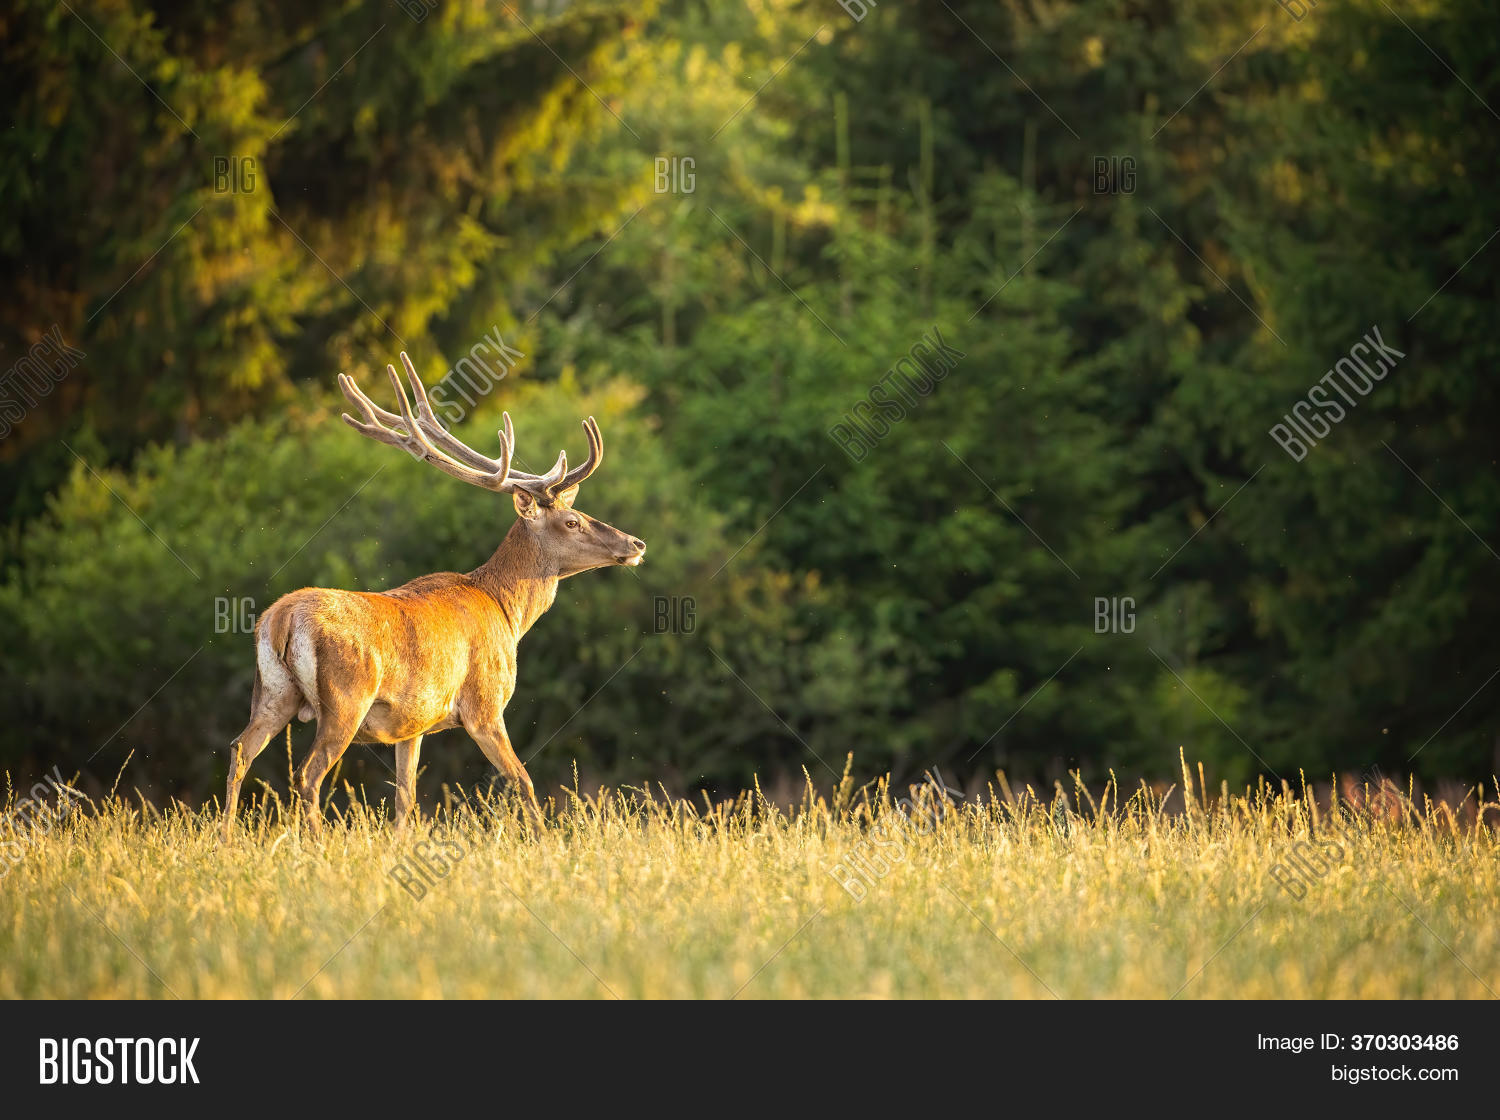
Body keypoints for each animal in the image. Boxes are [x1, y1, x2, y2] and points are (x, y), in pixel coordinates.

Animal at [220, 352, 646, 840]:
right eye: (572, 521)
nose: (636, 544)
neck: (506, 610)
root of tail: (281, 620)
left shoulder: (412, 726)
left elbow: (405, 798)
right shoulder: (484, 704)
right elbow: (522, 779)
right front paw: (545, 842)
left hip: (272, 692)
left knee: (240, 749)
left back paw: (225, 840)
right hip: (345, 698)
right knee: (307, 773)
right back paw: (316, 842)